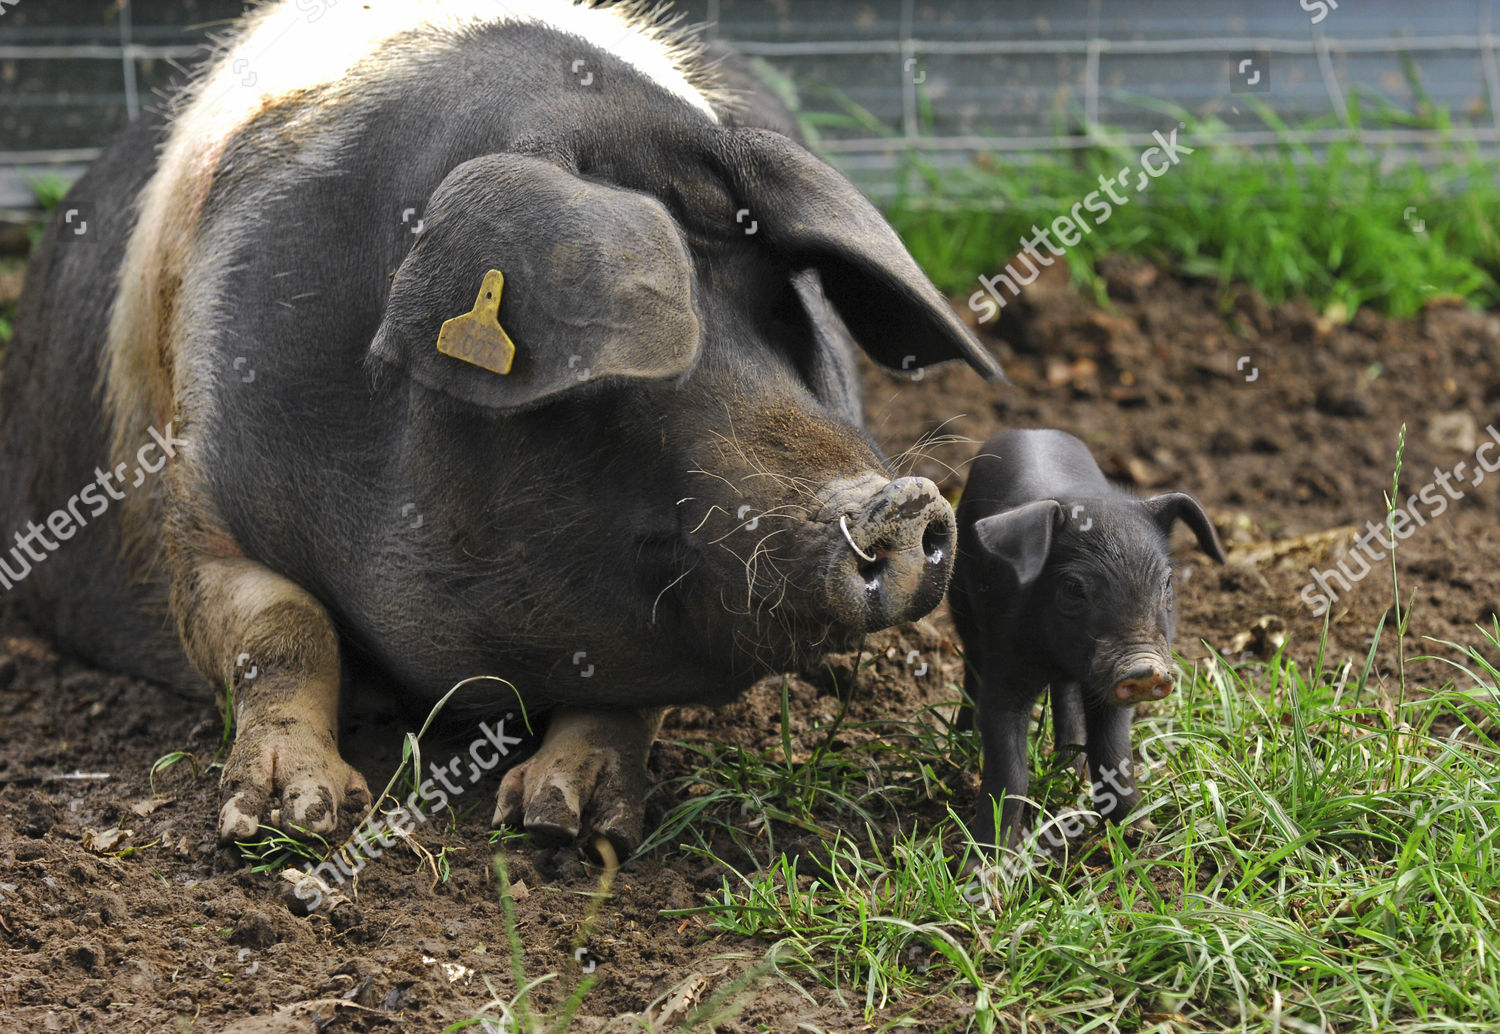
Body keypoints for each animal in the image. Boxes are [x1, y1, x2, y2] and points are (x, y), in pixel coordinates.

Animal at [0, 1, 1001, 856]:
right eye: (610, 376)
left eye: (782, 315)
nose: (901, 503)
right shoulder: (197, 510)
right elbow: (283, 629)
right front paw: (292, 816)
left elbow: (635, 695)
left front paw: (567, 823)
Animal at [948, 429, 1225, 848]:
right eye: (1074, 588)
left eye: (1167, 582)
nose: (1145, 669)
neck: (1055, 656)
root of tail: (1029, 430)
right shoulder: (1005, 669)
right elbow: (1010, 770)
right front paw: (987, 855)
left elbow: (1113, 750)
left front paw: (1139, 833)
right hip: (960, 604)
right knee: (970, 666)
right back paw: (961, 740)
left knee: (1065, 697)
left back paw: (1066, 768)